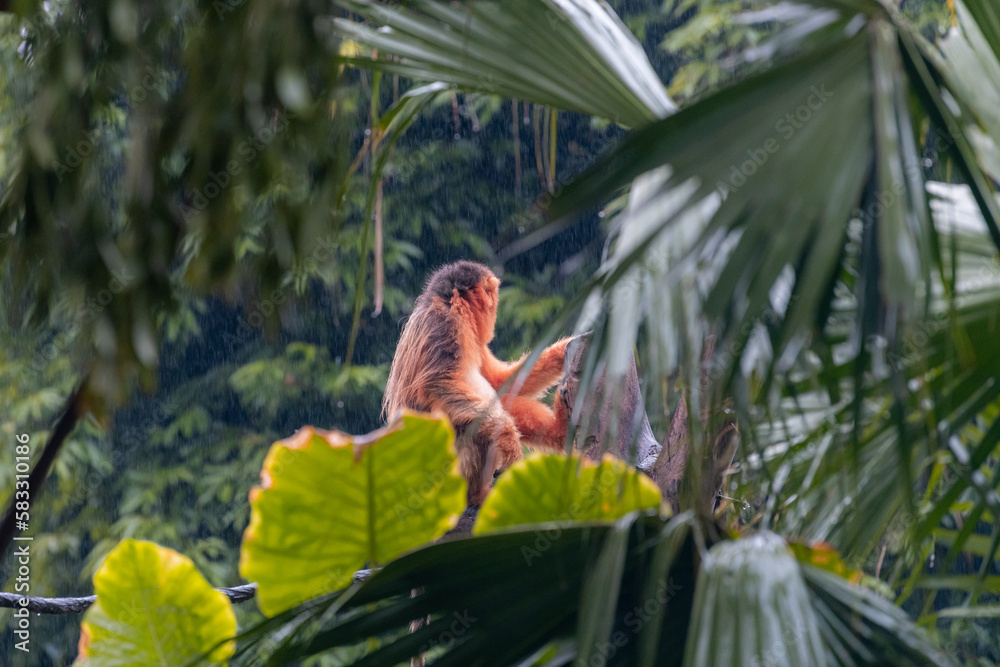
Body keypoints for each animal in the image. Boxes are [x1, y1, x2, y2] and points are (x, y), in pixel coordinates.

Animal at [383, 261, 573, 505]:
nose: (494, 310)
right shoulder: (445, 325)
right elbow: (440, 384)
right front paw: (508, 436)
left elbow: (500, 383)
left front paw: (563, 350)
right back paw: (477, 495)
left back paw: (561, 431)